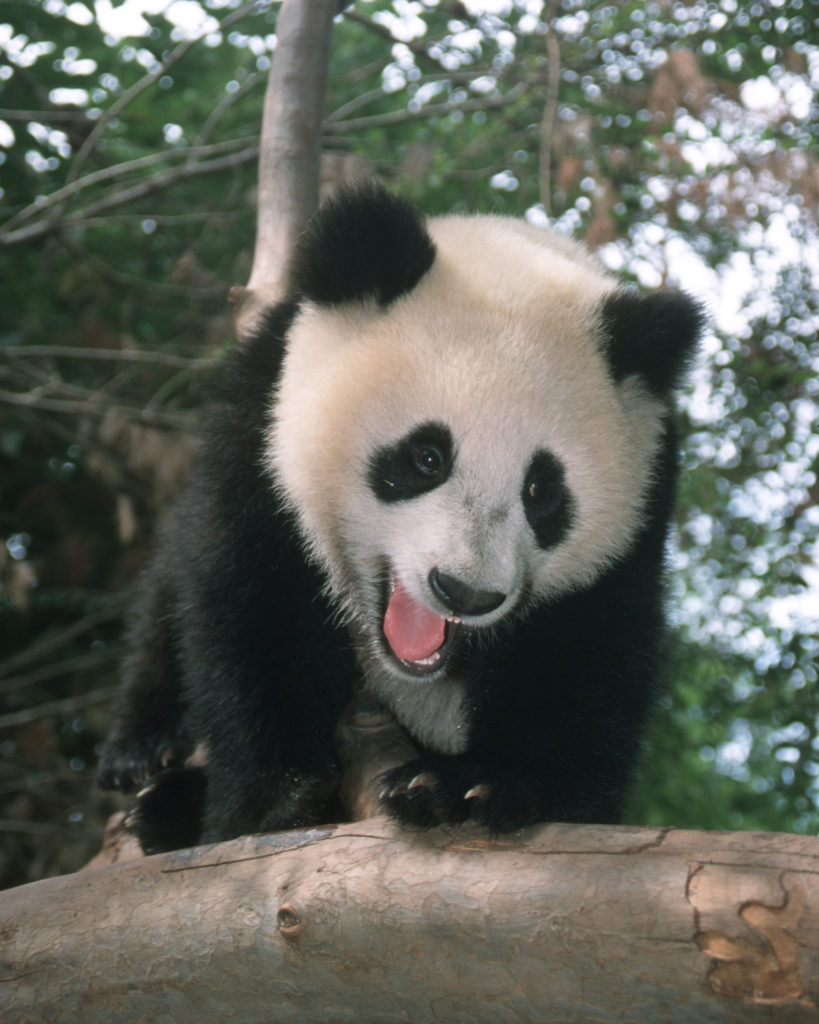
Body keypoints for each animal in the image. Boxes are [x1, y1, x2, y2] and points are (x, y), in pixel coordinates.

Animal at [98, 184, 703, 853]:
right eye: (425, 457)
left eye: (542, 490)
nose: (464, 592)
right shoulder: (261, 426)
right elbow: (249, 606)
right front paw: (270, 804)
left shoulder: (639, 511)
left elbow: (584, 660)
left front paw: (463, 787)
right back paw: (154, 777)